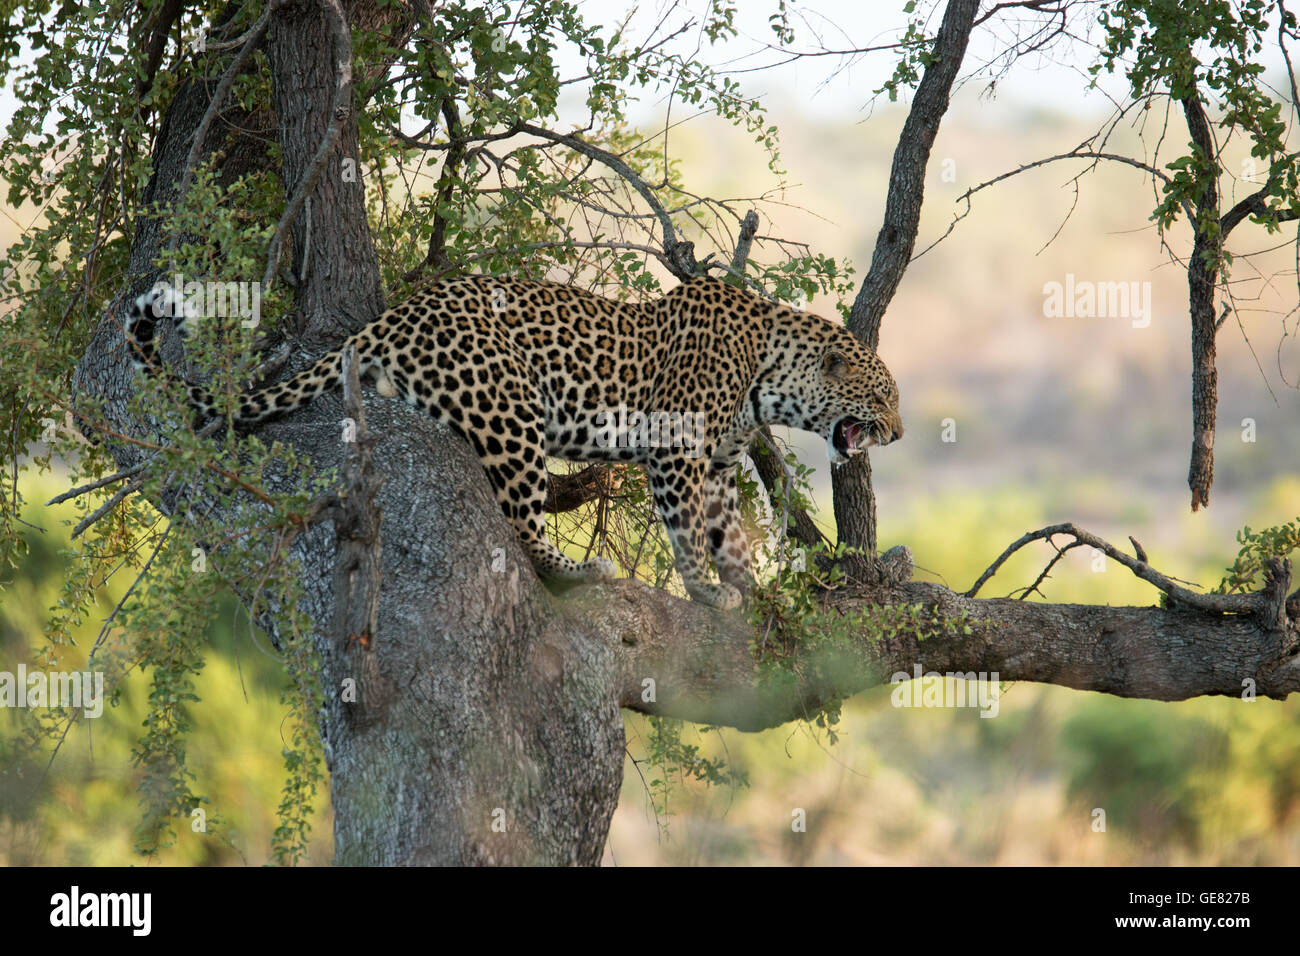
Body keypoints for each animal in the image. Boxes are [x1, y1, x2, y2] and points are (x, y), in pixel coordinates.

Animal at [125, 273, 904, 609]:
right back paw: (579, 571)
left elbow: (726, 532)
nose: (897, 433)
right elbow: (687, 531)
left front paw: (749, 588)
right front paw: (708, 592)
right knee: (522, 525)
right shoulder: (677, 452)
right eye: (883, 398)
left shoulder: (714, 463)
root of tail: (393, 318)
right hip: (511, 412)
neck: (768, 370)